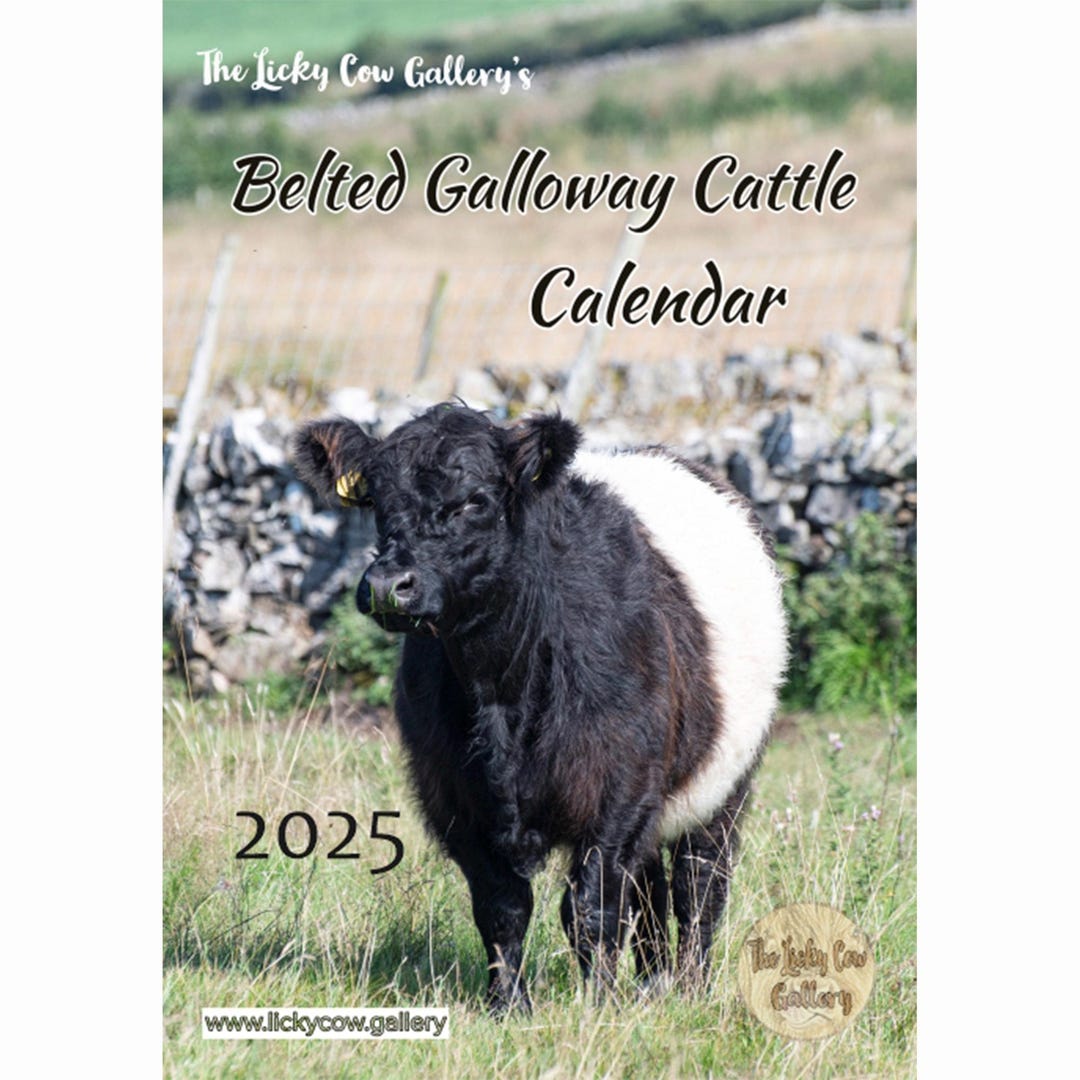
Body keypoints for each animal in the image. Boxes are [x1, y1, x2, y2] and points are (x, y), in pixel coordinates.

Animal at [293, 404, 787, 1012]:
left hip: (726, 783)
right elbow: (502, 908)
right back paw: (653, 982)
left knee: (699, 881)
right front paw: (507, 1005)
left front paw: (597, 1004)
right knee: (649, 885)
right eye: (378, 502)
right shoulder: (455, 797)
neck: (503, 689)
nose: (389, 586)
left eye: (476, 500)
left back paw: (690, 984)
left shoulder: (617, 787)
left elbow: (591, 908)